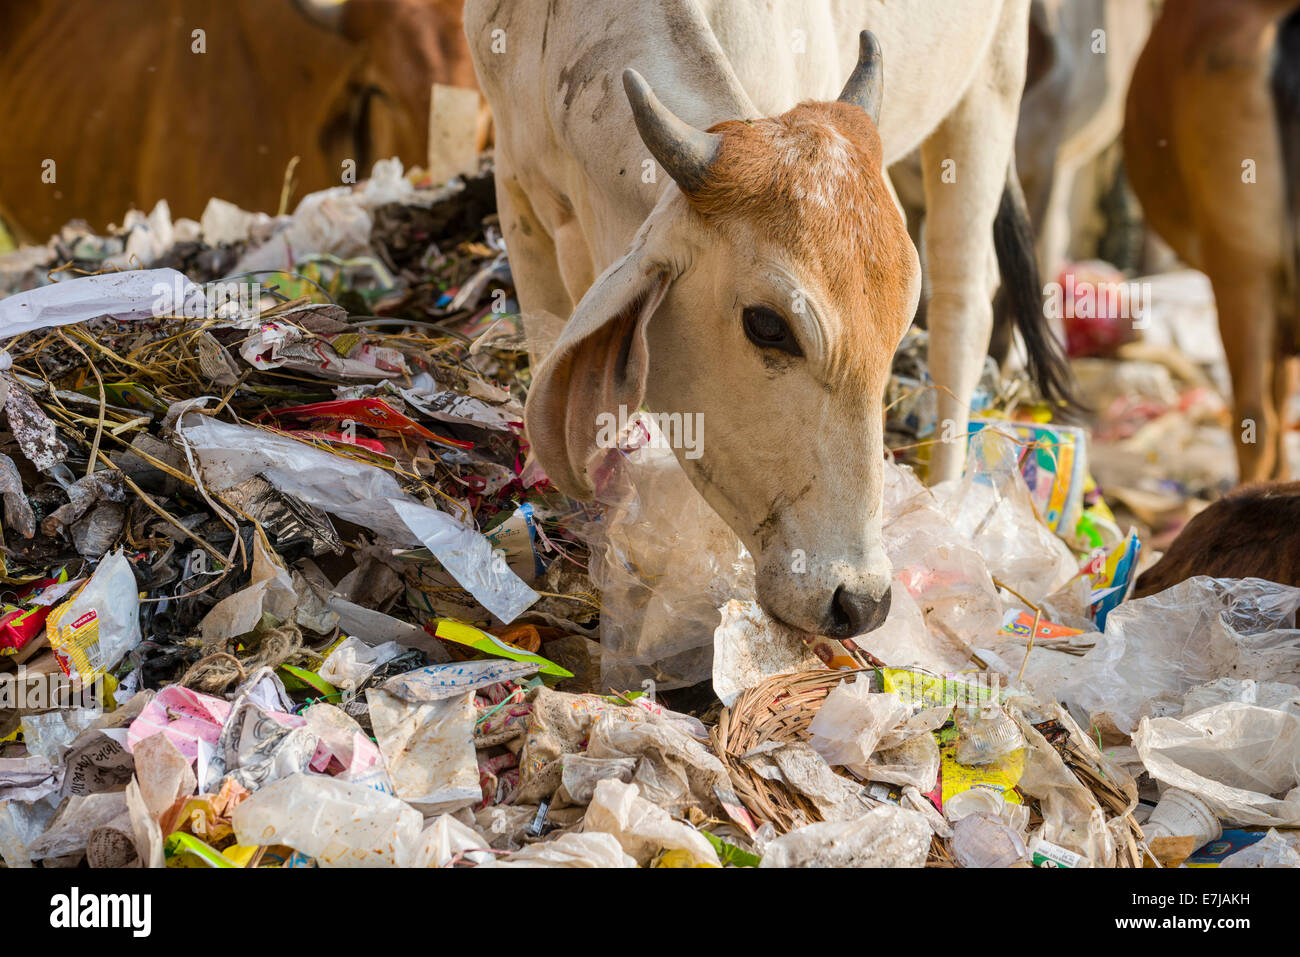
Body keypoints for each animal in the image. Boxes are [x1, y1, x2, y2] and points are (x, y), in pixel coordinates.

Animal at [467, 0, 1072, 640]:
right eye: (767, 325)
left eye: (900, 324)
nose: (861, 603)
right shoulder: (516, 188)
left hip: (991, 87)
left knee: (965, 305)